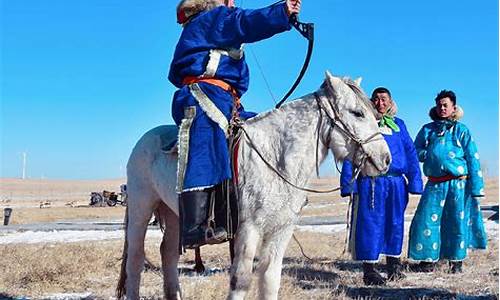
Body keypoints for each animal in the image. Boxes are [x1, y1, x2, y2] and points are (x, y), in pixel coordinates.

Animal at [116, 71, 390, 298]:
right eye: (357, 113)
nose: (385, 160)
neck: (276, 157)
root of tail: (144, 140)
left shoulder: (281, 230)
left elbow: (270, 279)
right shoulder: (249, 229)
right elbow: (241, 281)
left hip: (174, 215)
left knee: (168, 254)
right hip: (142, 206)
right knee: (136, 259)